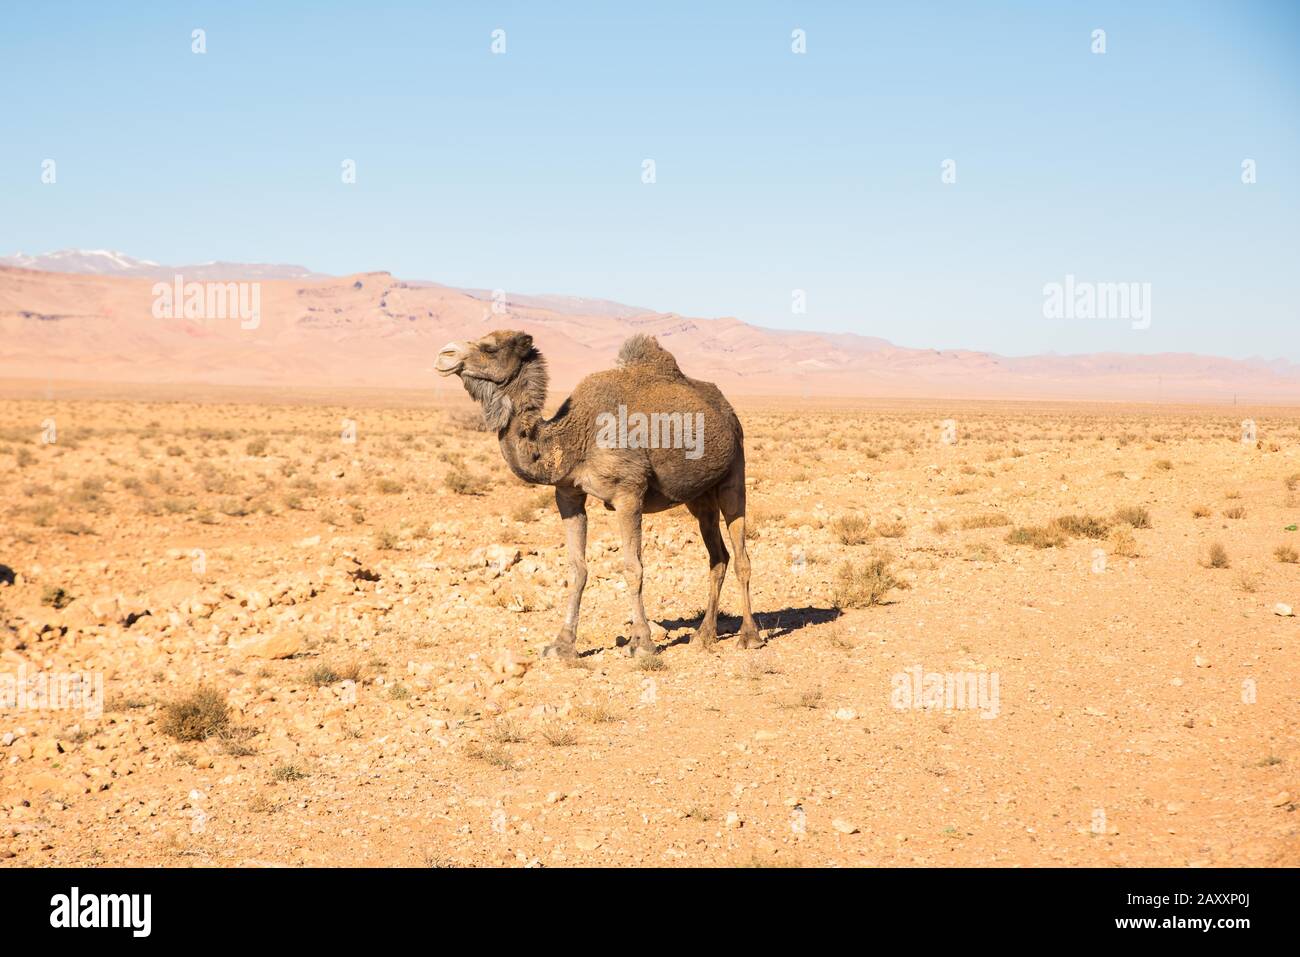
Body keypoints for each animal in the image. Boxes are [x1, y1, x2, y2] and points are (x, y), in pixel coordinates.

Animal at [435, 329, 761, 658]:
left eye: (489, 348)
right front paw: (562, 645)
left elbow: (632, 567)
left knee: (741, 556)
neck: (574, 438)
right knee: (718, 557)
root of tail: (729, 411)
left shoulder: (629, 493)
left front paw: (641, 643)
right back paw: (704, 635)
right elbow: (576, 569)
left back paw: (750, 636)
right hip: (699, 497)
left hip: (734, 472)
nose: (444, 354)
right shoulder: (567, 495)